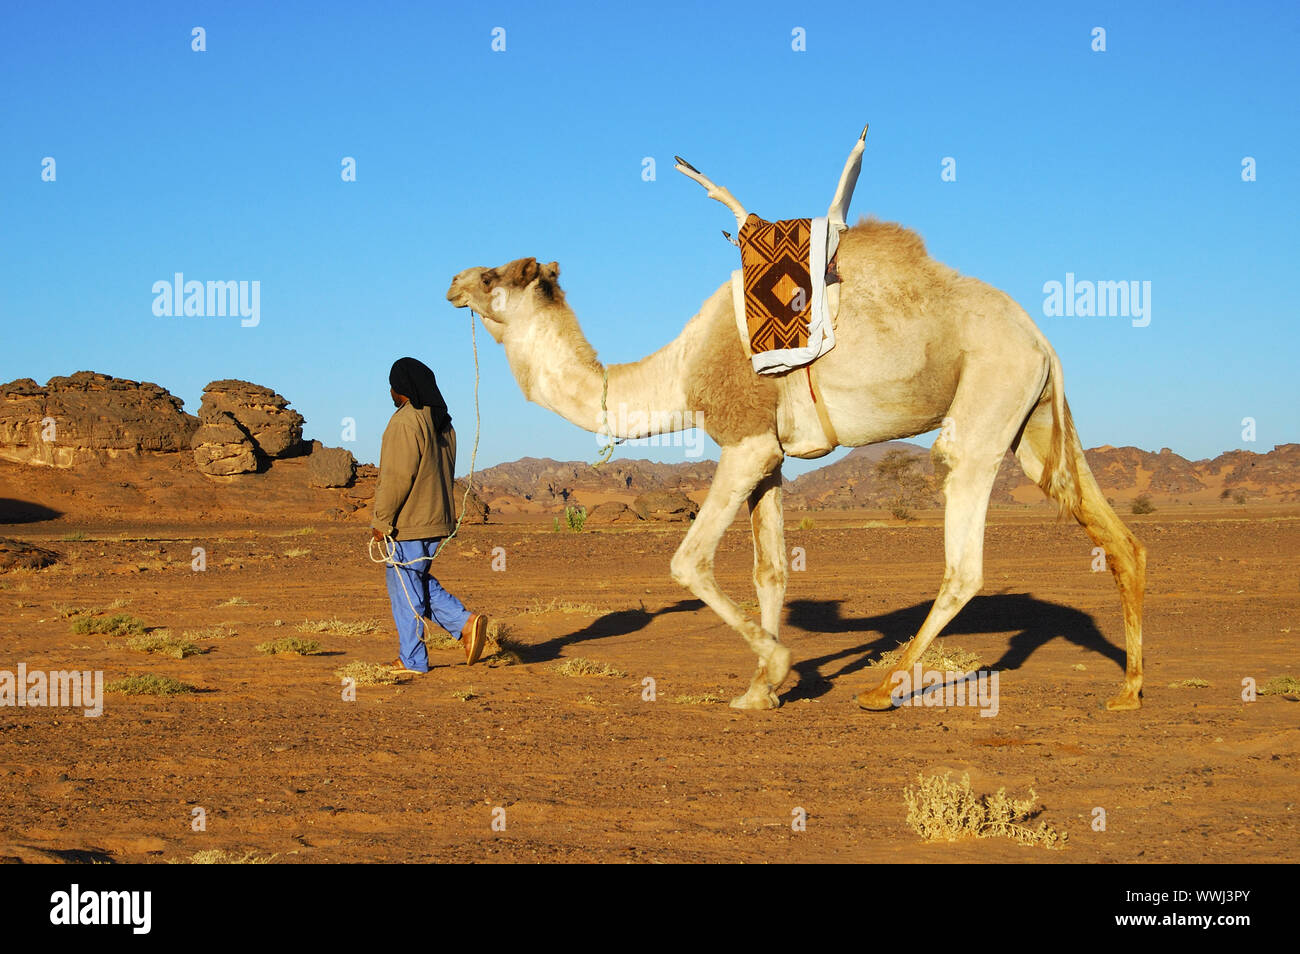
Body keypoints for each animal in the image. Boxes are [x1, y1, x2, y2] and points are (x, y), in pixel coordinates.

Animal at [445, 143, 1146, 714]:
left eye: (496, 275)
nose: (453, 280)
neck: (680, 371)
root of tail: (1040, 336)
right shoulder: (772, 458)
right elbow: (772, 571)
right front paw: (762, 688)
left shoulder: (744, 442)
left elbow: (688, 561)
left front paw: (777, 667)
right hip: (1032, 421)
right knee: (1114, 534)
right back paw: (1129, 689)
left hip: (985, 402)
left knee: (965, 560)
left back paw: (881, 689)